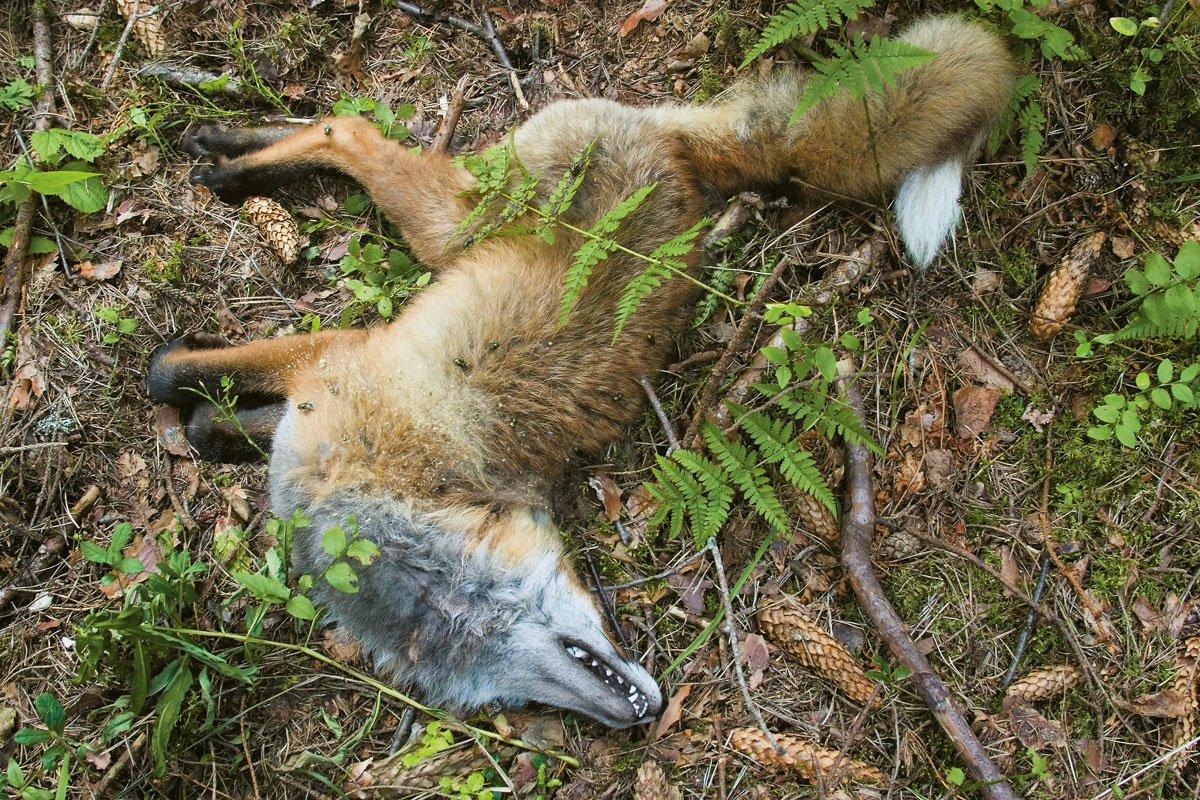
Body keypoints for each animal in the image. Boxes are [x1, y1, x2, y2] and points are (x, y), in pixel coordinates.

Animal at [148, 17, 1013, 728]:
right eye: (494, 686)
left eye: (493, 638)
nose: (633, 719)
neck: (383, 467)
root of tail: (674, 149)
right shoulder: (321, 390)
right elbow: (212, 422)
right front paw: (213, 419)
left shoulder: (335, 357)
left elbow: (172, 382)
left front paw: (180, 372)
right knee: (344, 126)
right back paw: (220, 135)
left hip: (453, 220)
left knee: (347, 126)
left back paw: (232, 166)